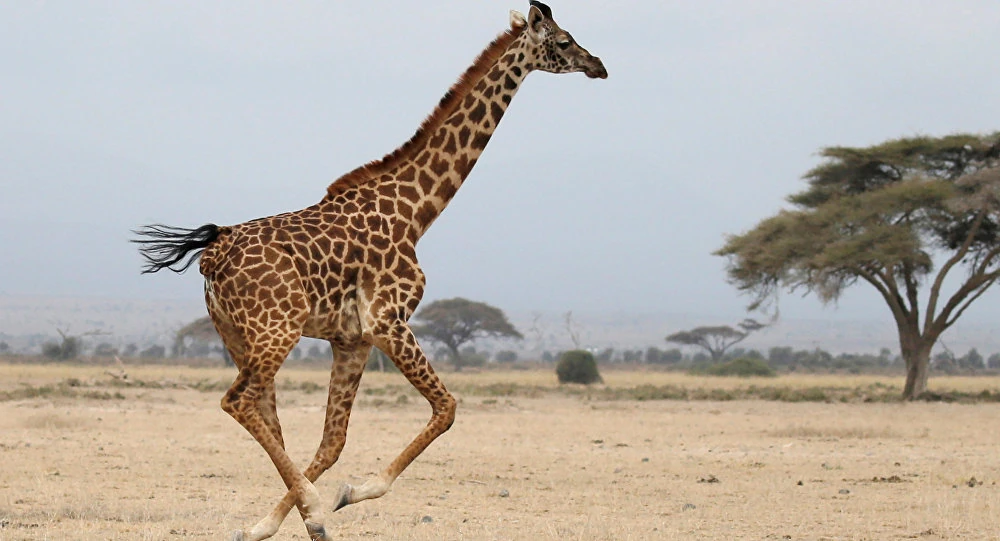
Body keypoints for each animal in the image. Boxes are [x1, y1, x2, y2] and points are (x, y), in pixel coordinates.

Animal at [134, 3, 606, 540]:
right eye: (564, 40)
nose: (598, 66)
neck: (415, 212)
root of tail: (214, 254)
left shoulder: (352, 338)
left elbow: (332, 441)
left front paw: (290, 520)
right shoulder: (388, 321)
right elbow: (446, 408)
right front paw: (342, 498)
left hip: (237, 335)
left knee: (264, 415)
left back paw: (280, 518)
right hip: (277, 330)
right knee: (237, 402)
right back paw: (311, 505)